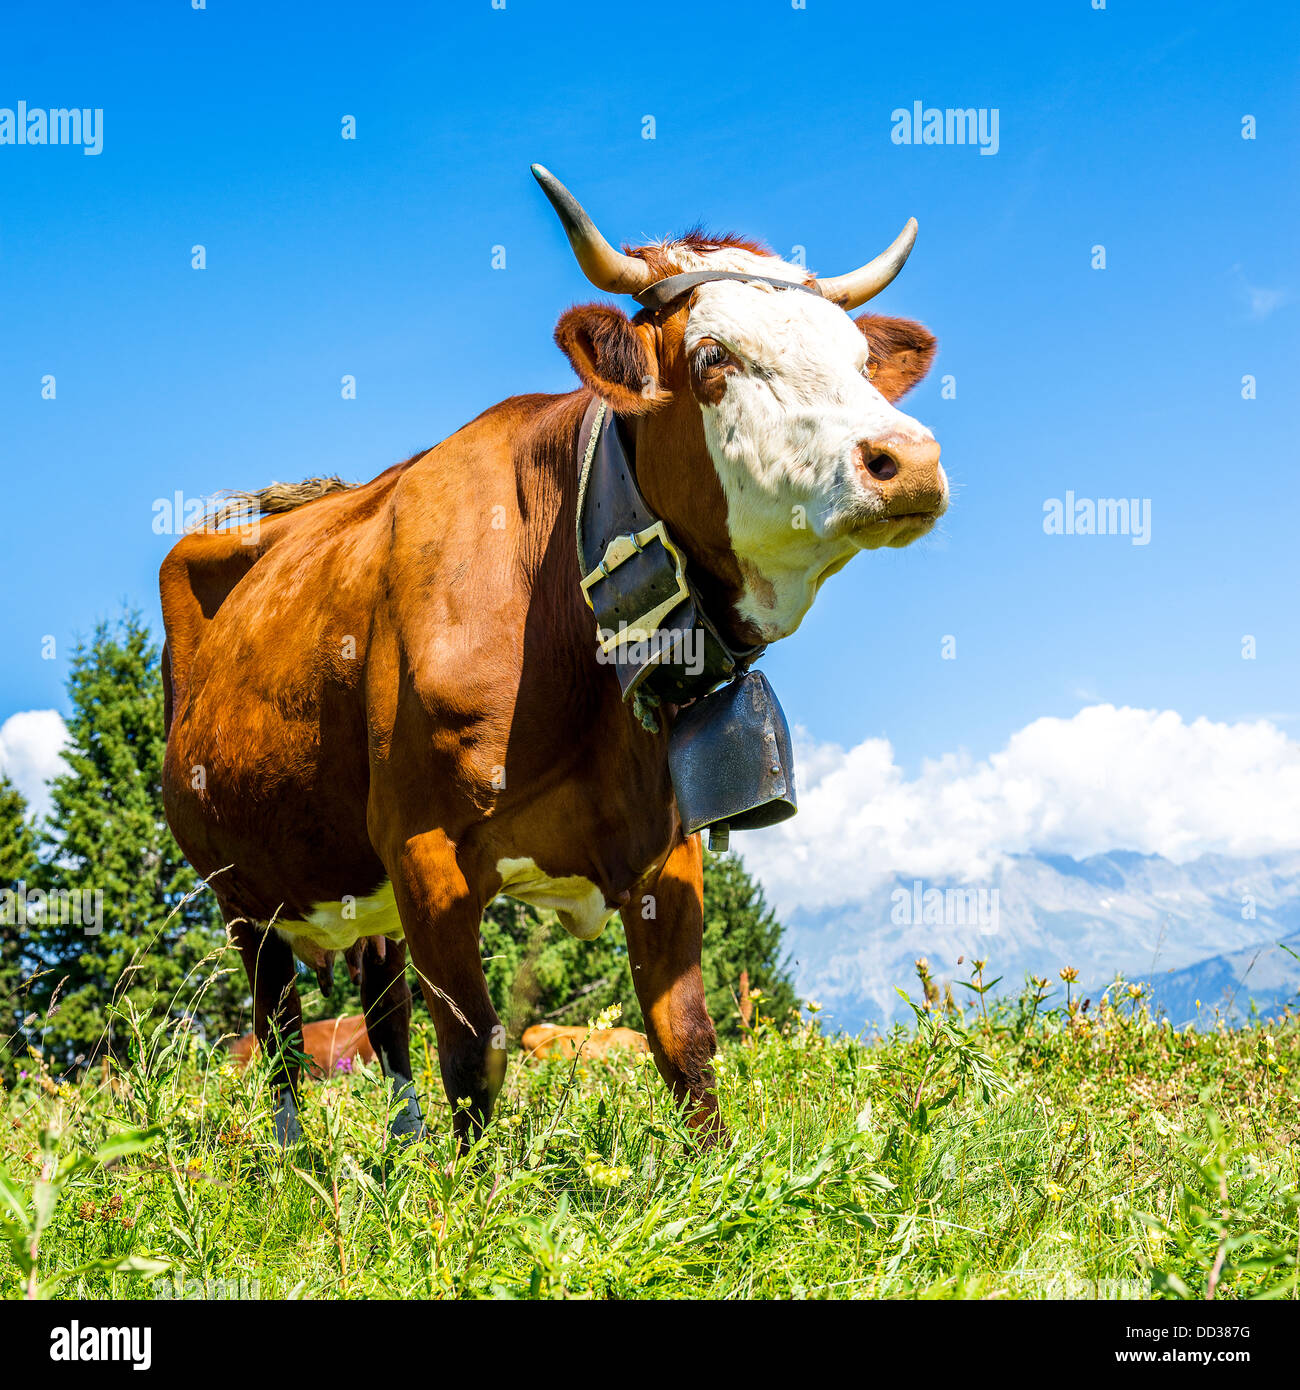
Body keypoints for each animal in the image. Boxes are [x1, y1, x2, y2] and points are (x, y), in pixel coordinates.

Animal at [159, 165, 945, 1152]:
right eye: (712, 358)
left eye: (859, 360)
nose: (909, 458)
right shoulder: (423, 847)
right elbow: (474, 1054)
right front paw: (469, 1190)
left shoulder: (663, 844)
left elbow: (685, 1039)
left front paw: (719, 1174)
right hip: (241, 892)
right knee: (279, 1040)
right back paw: (297, 1166)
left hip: (356, 883)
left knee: (380, 1013)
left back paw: (400, 1147)